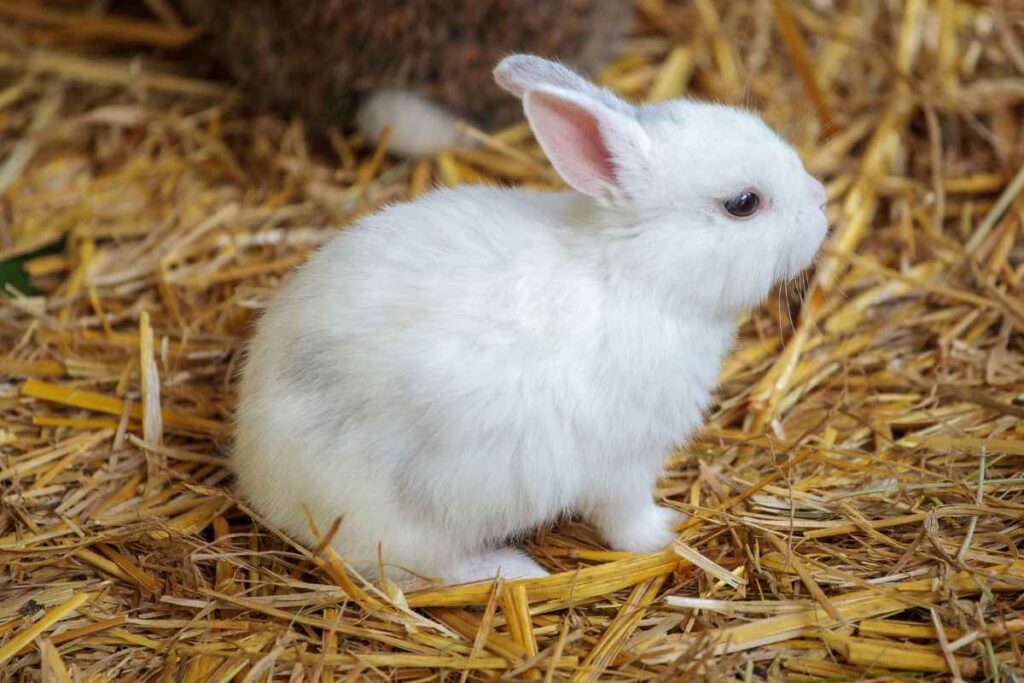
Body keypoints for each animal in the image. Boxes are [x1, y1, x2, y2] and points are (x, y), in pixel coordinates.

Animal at [235, 55, 829, 585]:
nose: (822, 203)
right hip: (411, 520)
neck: (634, 273)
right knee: (414, 572)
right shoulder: (624, 462)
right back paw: (511, 569)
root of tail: (258, 474)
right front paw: (665, 532)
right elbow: (625, 517)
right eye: (743, 203)